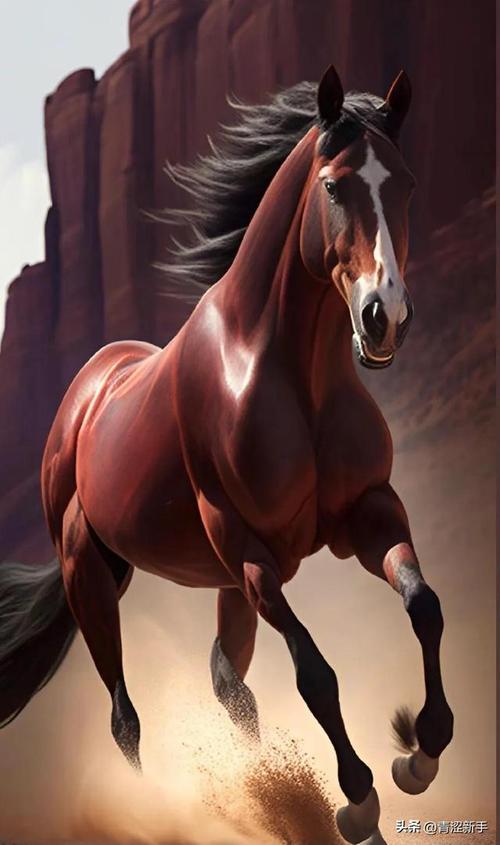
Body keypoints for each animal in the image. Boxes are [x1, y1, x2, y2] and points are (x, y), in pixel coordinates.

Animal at [0, 65, 453, 844]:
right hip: (93, 574)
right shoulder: (251, 552)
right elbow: (315, 672)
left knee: (227, 684)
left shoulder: (368, 514)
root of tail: (84, 395)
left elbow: (425, 606)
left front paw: (418, 753)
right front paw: (358, 799)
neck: (287, 372)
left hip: (215, 584)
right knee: (125, 718)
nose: (383, 318)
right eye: (334, 186)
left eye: (407, 184)